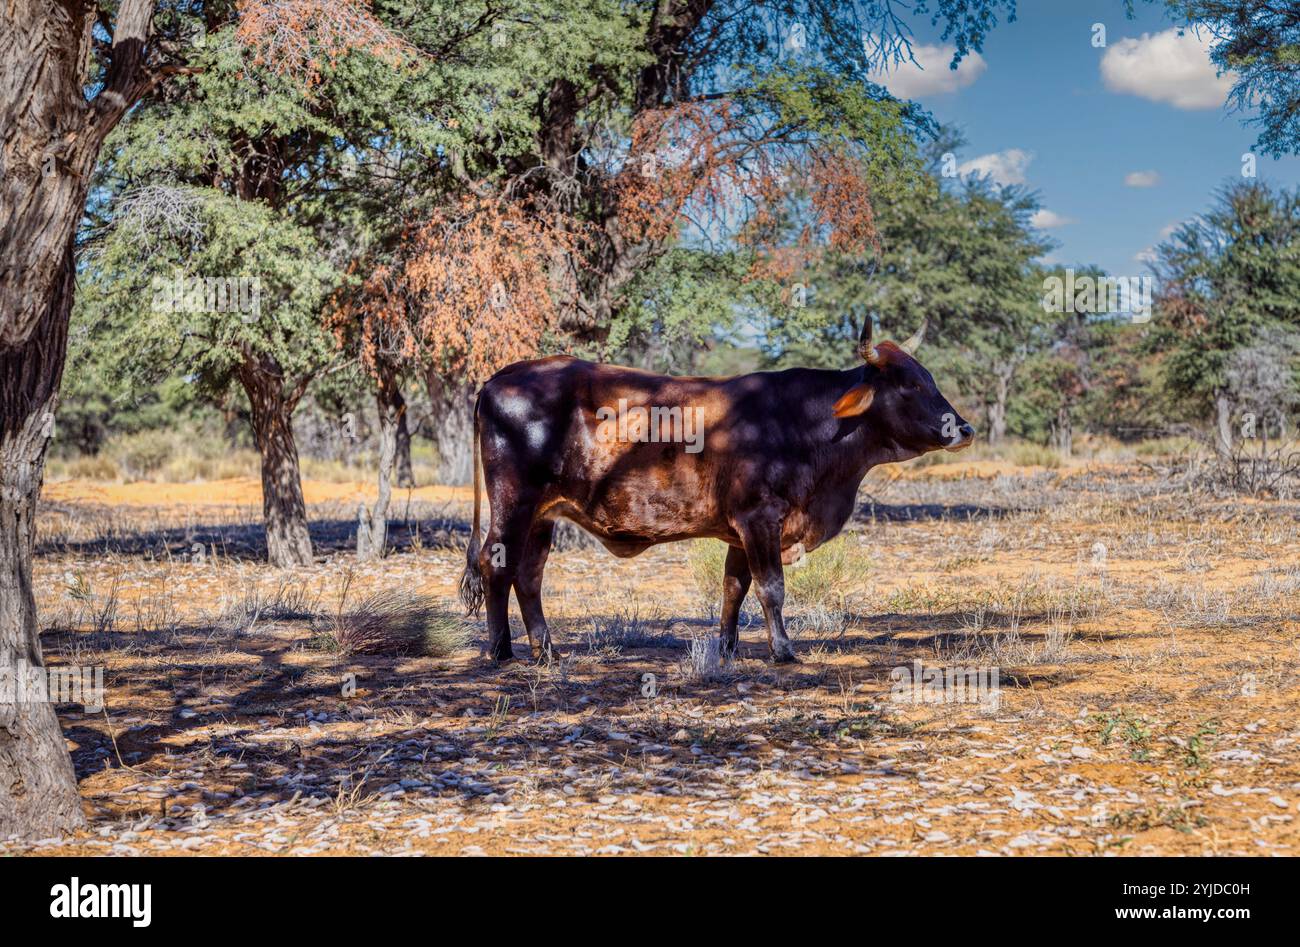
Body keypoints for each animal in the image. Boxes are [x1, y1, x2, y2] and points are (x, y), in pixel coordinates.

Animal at [459, 317, 974, 664]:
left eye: (929, 379)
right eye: (908, 386)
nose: (963, 428)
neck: (806, 423)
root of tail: (499, 378)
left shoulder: (740, 531)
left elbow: (734, 588)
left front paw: (727, 648)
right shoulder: (760, 518)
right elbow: (771, 587)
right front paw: (783, 649)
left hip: (543, 516)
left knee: (529, 575)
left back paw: (546, 651)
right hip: (514, 505)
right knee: (496, 564)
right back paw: (501, 651)